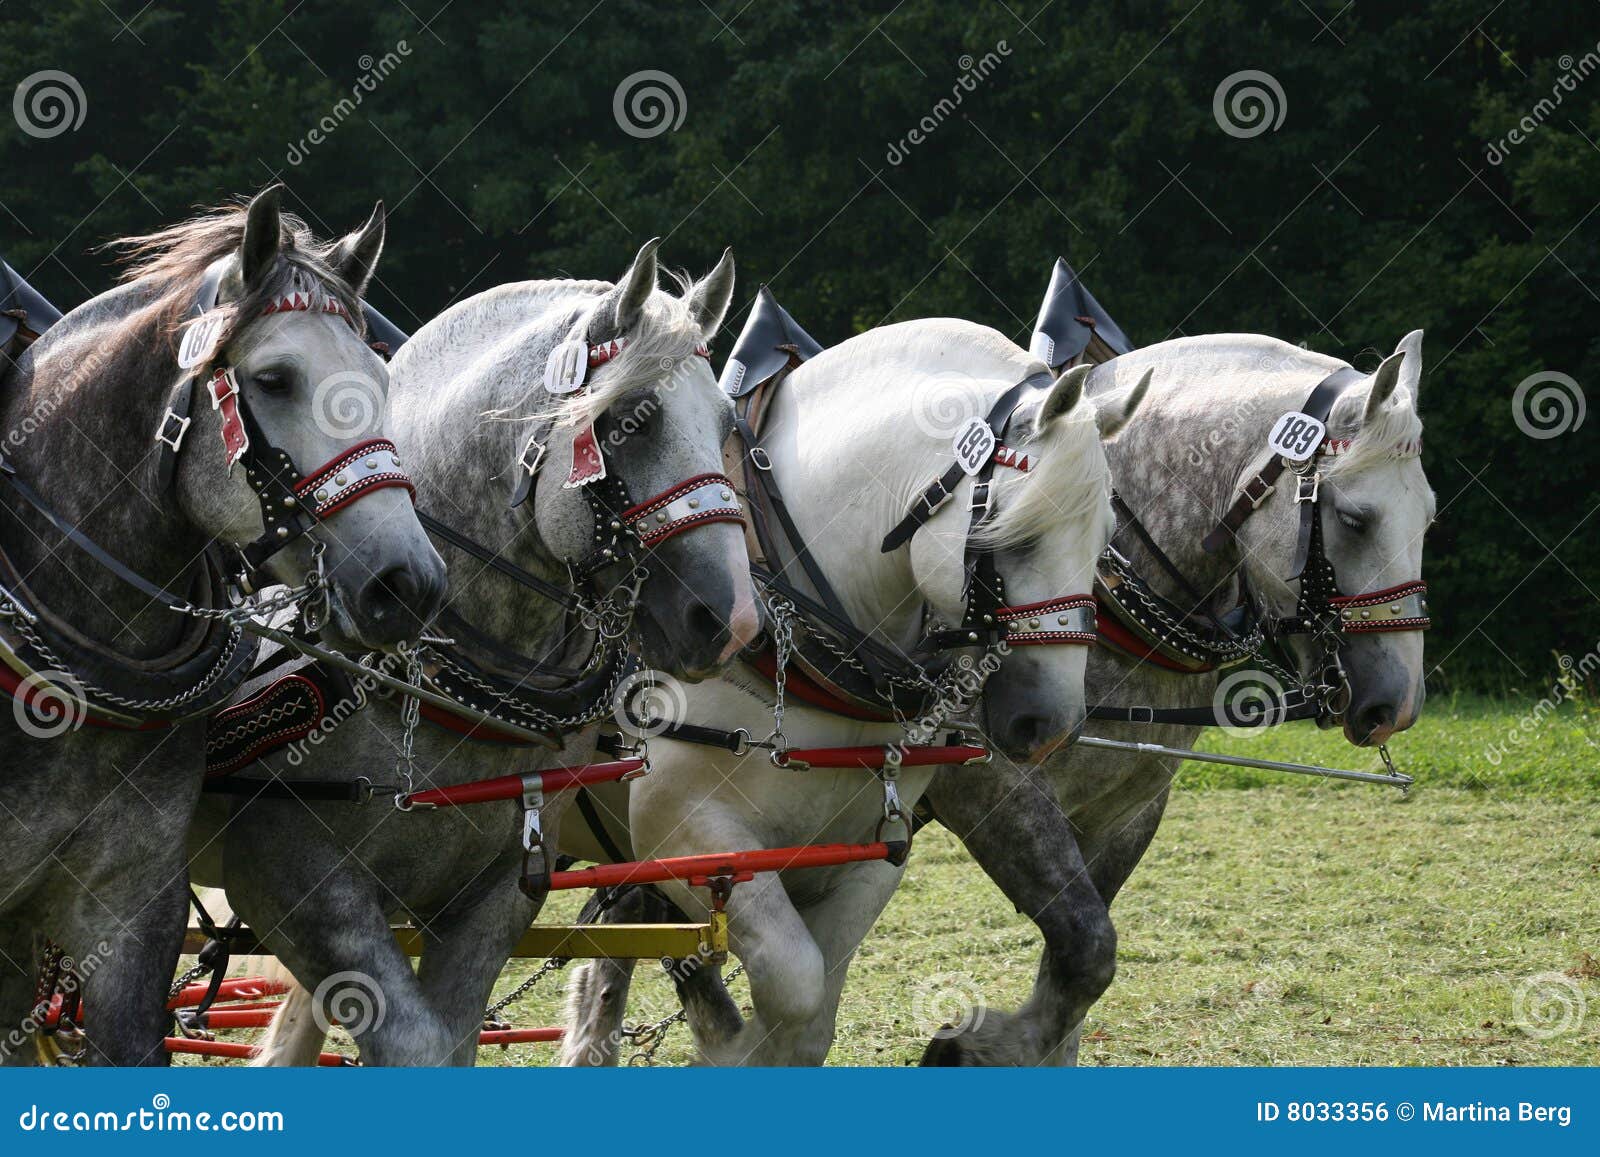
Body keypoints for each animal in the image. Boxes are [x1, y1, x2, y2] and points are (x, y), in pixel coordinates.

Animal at [555, 317, 1148, 1065]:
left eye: (1106, 540)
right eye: (1011, 536)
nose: (1050, 723)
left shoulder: (870, 854)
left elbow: (812, 1020)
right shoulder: (683, 833)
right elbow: (794, 986)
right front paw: (732, 1049)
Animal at [917, 330, 1435, 1065]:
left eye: (1429, 516)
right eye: (1354, 519)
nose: (1397, 703)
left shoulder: (1125, 804)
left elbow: (1073, 976)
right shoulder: (987, 782)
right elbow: (1087, 949)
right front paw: (974, 1047)